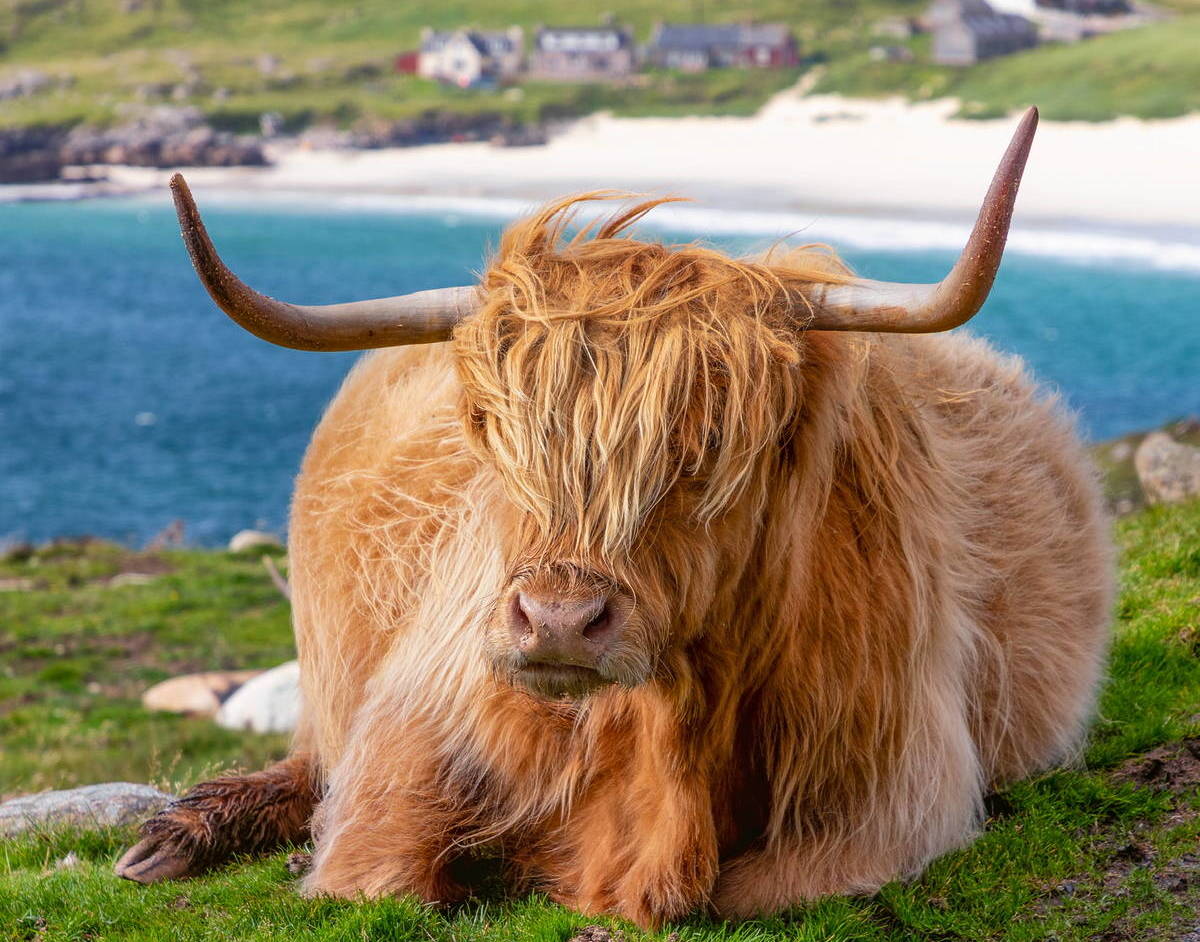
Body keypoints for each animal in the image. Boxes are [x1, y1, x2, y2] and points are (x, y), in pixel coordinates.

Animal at [116, 108, 1112, 927]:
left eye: (708, 446)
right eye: (491, 433)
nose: (559, 622)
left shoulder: (888, 794)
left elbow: (738, 893)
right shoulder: (404, 747)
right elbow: (378, 874)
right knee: (307, 761)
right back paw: (173, 836)